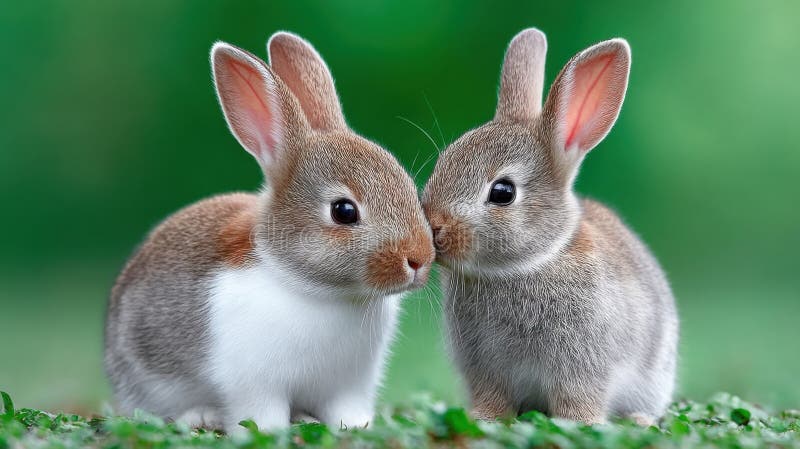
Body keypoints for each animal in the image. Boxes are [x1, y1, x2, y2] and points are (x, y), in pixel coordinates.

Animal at [104, 32, 434, 433]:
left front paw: (357, 427)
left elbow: (346, 410)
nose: (419, 259)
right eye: (344, 211)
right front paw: (270, 430)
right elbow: (260, 413)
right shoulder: (254, 383)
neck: (323, 291)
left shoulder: (348, 386)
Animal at [421, 28, 678, 426]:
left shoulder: (582, 365)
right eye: (444, 161)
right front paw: (483, 417)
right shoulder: (486, 369)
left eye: (503, 192)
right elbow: (493, 396)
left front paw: (580, 422)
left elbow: (577, 397)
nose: (435, 229)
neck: (530, 263)